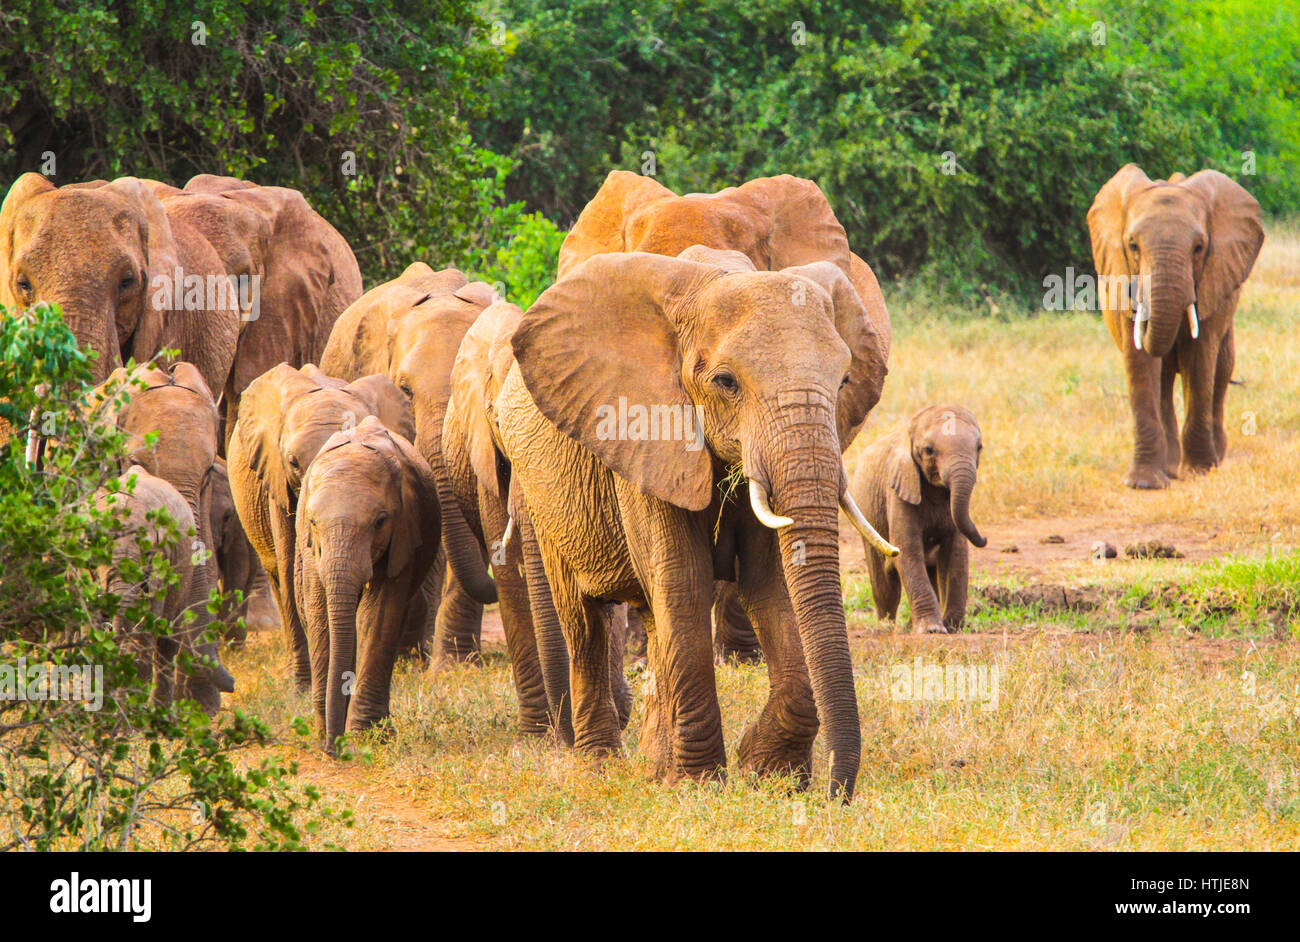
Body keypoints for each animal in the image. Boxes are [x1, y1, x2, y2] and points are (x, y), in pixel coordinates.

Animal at [294, 416, 441, 750]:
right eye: (313, 522)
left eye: (380, 522)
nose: (332, 749)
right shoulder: (311, 548)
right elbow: (321, 613)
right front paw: (325, 732)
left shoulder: (405, 530)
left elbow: (378, 615)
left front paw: (364, 736)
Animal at [496, 248, 896, 800]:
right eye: (726, 382)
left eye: (843, 382)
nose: (836, 796)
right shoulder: (644, 432)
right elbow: (684, 581)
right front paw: (699, 782)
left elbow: (771, 588)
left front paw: (769, 773)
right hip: (541, 493)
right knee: (584, 623)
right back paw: (600, 766)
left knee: (653, 618)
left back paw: (652, 762)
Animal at [849, 405, 987, 634]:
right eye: (929, 450)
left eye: (979, 447)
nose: (984, 539)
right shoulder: (898, 487)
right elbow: (908, 549)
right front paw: (932, 629)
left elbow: (956, 553)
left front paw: (952, 626)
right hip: (866, 512)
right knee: (884, 581)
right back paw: (887, 626)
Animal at [1088, 165, 1264, 489]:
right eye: (1132, 246)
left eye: (1199, 247)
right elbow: (1140, 363)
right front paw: (1143, 484)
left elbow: (1200, 360)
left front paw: (1199, 472)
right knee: (1164, 380)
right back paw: (1169, 467)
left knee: (1222, 369)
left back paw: (1212, 458)